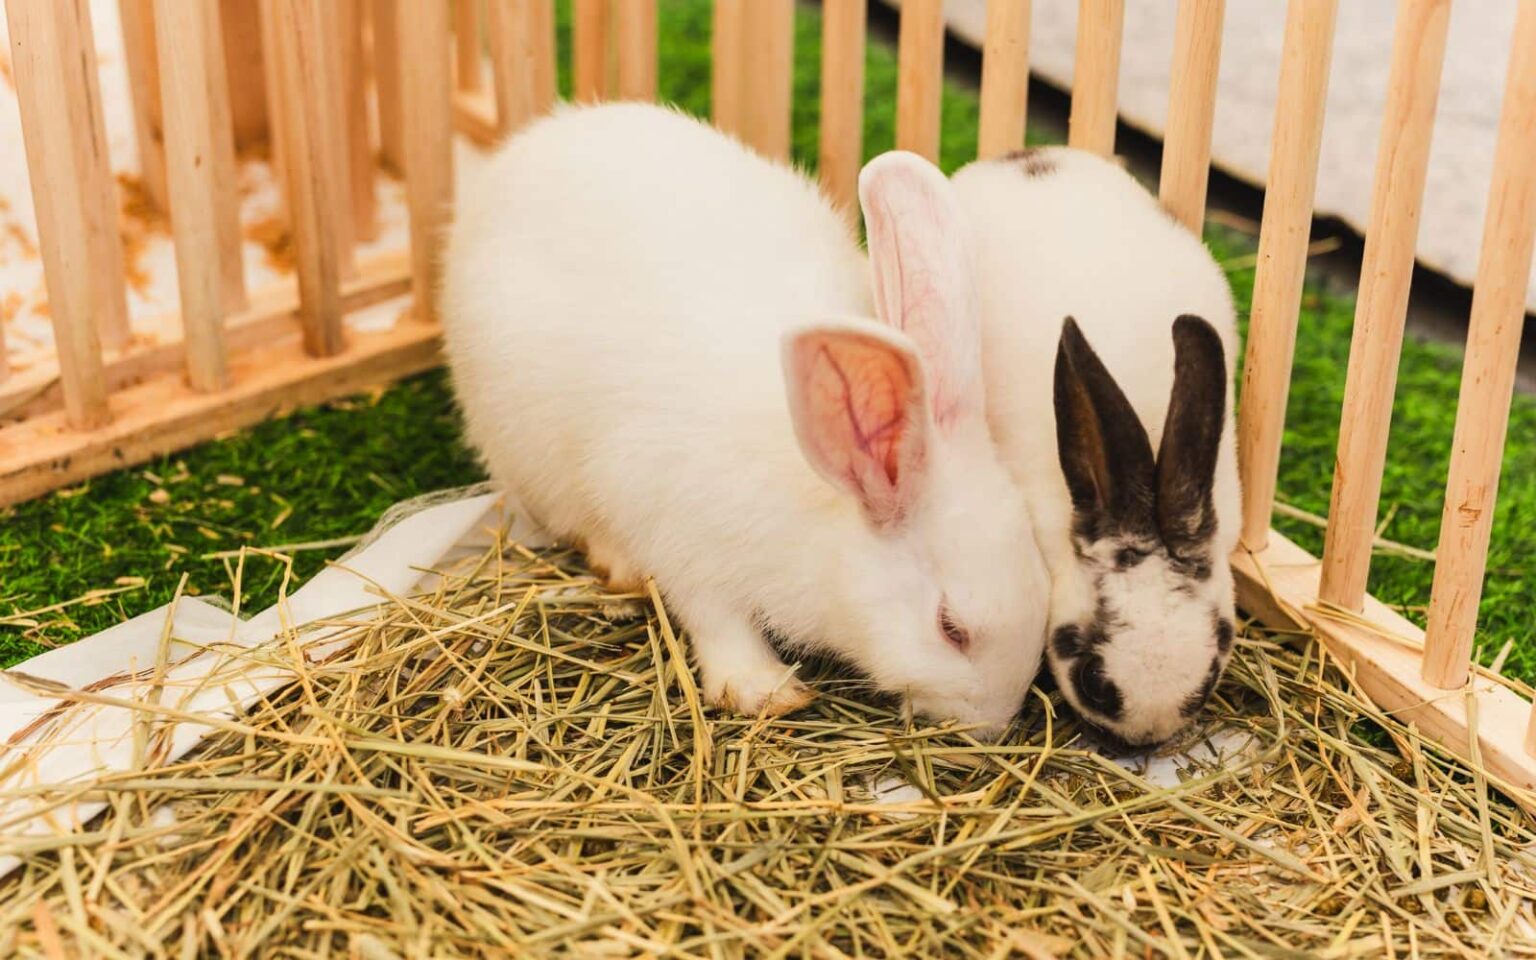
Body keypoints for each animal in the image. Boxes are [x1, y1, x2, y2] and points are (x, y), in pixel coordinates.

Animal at [440, 103, 1050, 735]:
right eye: (951, 629)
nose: (995, 724)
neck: (826, 507)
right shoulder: (683, 538)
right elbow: (714, 619)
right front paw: (766, 691)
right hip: (524, 448)